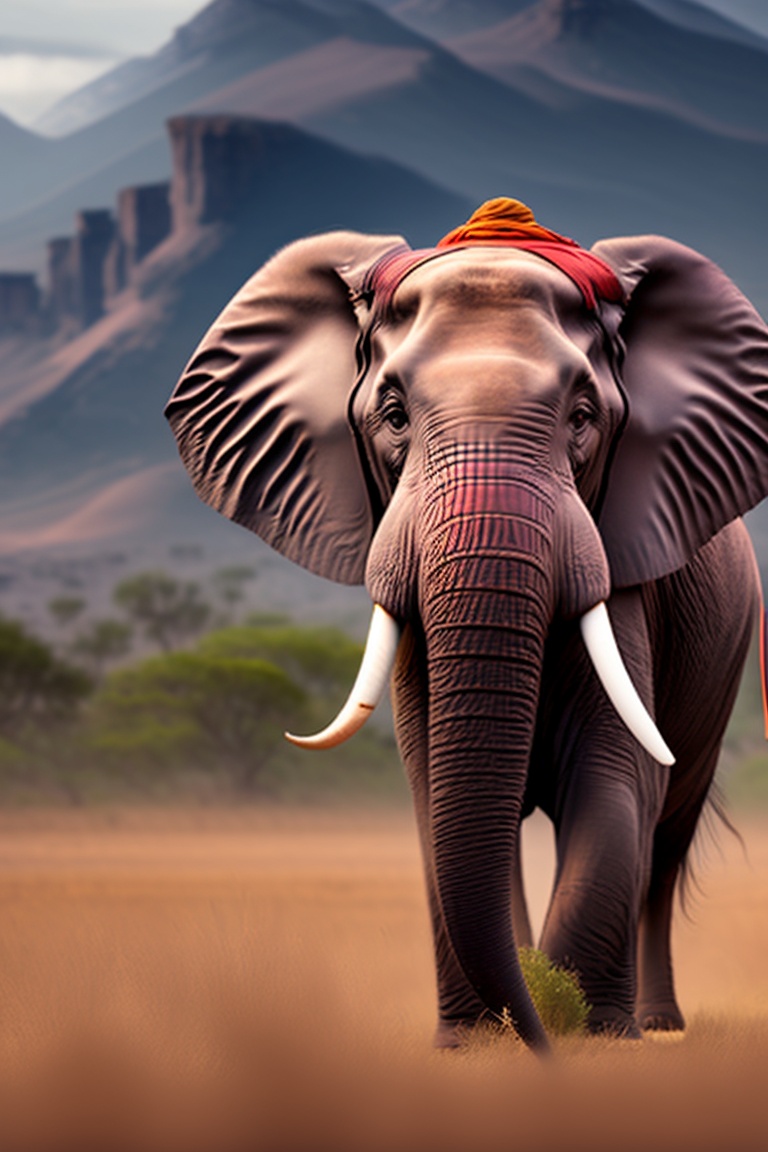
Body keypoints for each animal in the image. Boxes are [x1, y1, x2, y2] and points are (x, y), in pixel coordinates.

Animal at [165, 198, 768, 1054]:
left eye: (583, 417)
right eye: (392, 416)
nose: (538, 1035)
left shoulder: (628, 580)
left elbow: (615, 783)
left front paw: (585, 1032)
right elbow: (438, 793)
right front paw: (478, 1044)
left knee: (666, 840)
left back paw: (654, 1026)